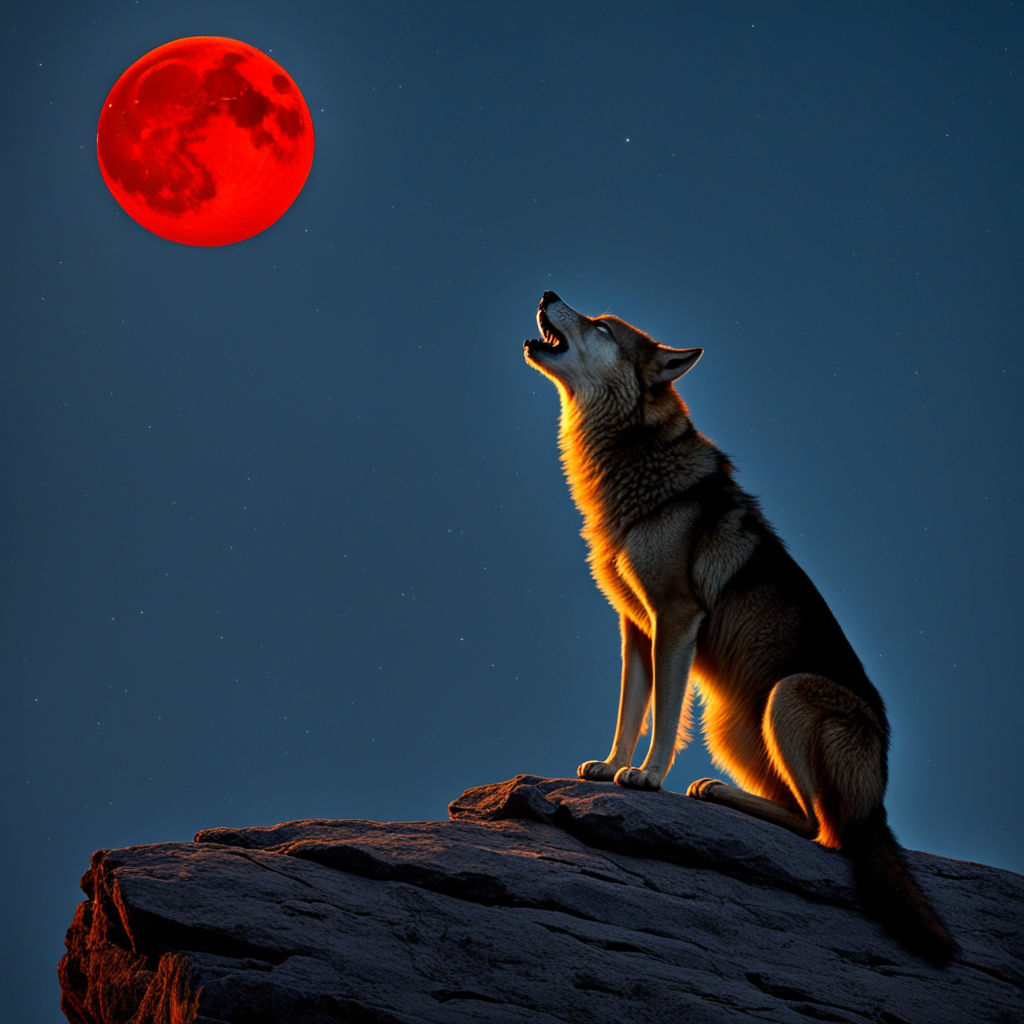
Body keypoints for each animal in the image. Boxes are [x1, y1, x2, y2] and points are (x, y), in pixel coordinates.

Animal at [523, 291, 956, 963]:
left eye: (602, 326)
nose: (547, 294)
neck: (632, 473)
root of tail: (878, 802)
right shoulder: (634, 627)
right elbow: (630, 710)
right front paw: (610, 764)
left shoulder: (676, 619)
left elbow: (664, 714)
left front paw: (648, 777)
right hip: (733, 726)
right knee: (803, 817)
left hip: (787, 694)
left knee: (818, 829)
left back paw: (711, 792)